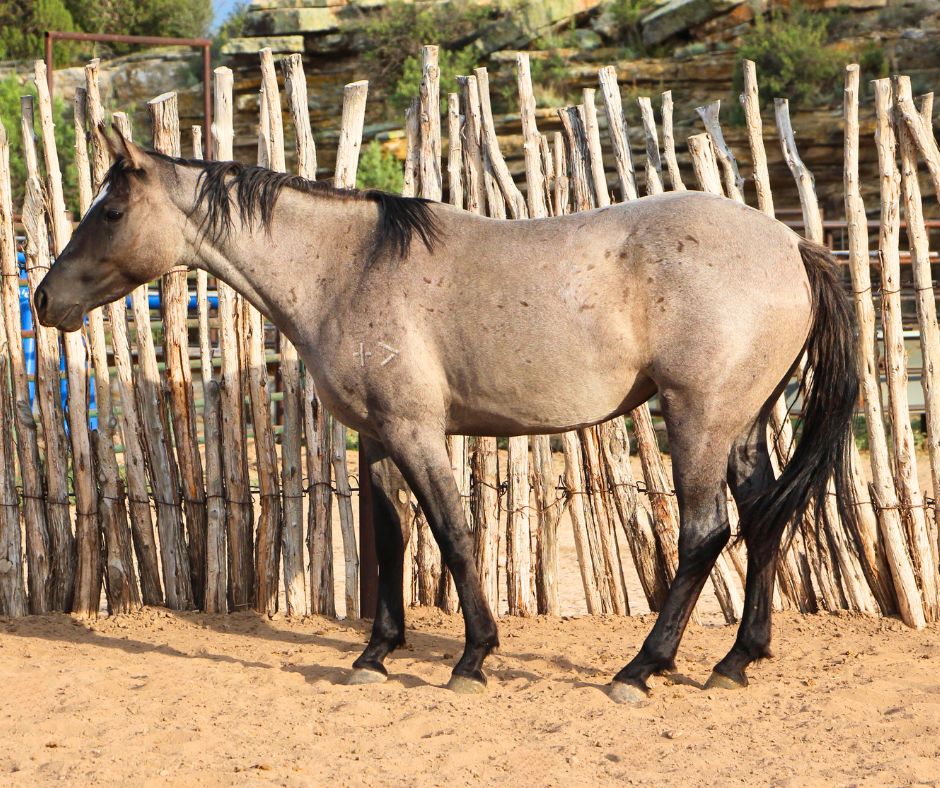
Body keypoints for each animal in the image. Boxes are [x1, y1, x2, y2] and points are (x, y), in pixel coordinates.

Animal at [35, 125, 859, 703]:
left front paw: (472, 657)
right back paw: (736, 660)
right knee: (763, 522)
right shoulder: (375, 438)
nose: (45, 299)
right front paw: (375, 655)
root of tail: (790, 243)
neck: (346, 268)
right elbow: (391, 538)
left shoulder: (416, 433)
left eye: (111, 210)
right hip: (741, 426)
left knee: (704, 534)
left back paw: (641, 668)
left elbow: (454, 535)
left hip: (698, 420)